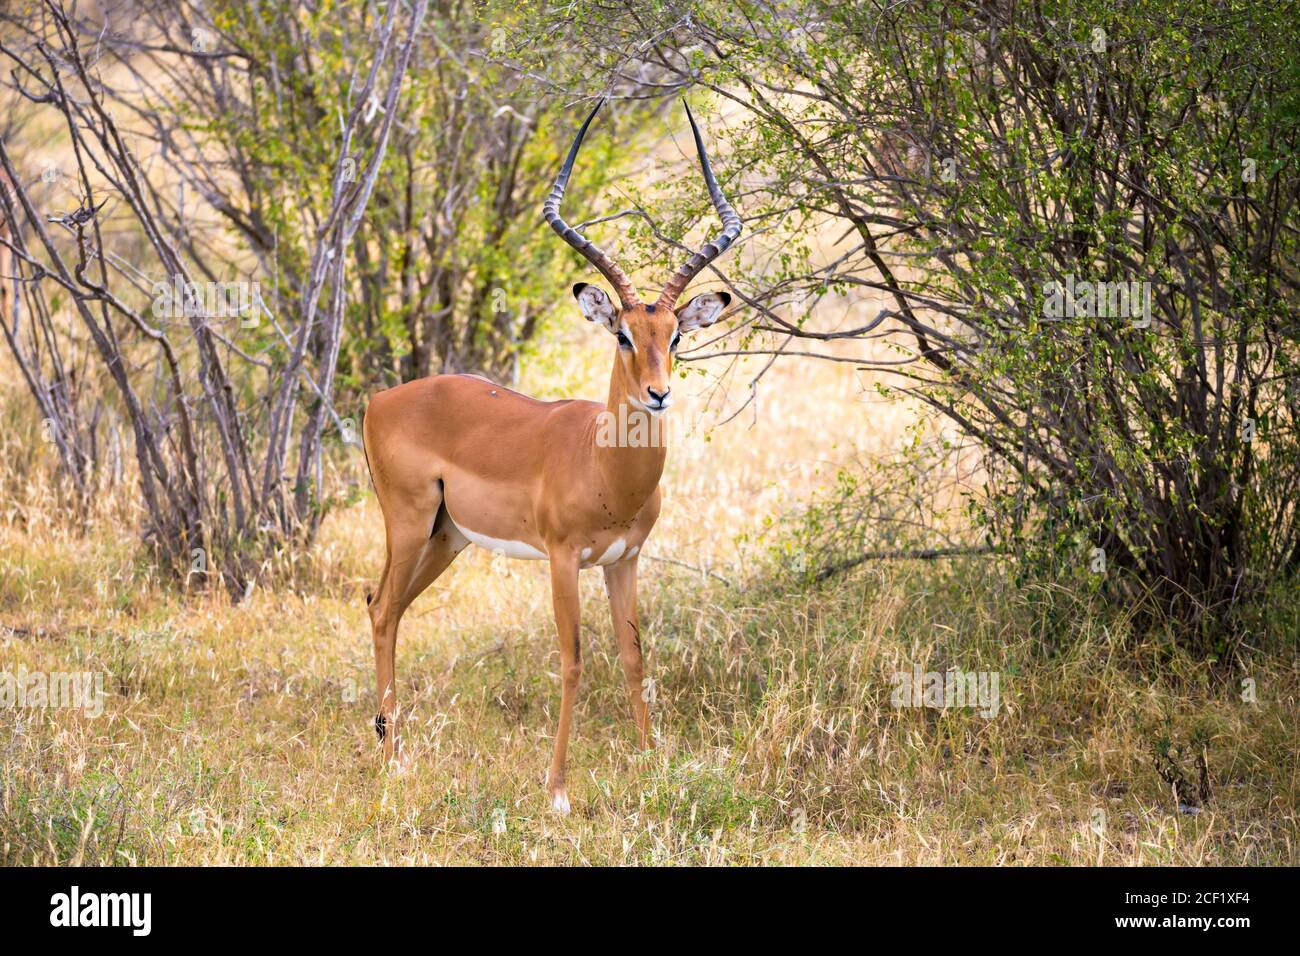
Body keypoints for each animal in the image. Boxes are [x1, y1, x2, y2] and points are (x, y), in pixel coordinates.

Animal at [362, 99, 740, 814]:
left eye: (675, 334)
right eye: (622, 334)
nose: (659, 394)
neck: (603, 468)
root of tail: (379, 400)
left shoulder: (623, 560)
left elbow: (633, 656)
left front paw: (653, 765)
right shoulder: (563, 559)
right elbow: (572, 660)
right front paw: (558, 790)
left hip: (447, 537)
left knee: (387, 607)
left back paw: (394, 750)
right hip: (407, 523)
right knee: (379, 609)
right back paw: (392, 762)